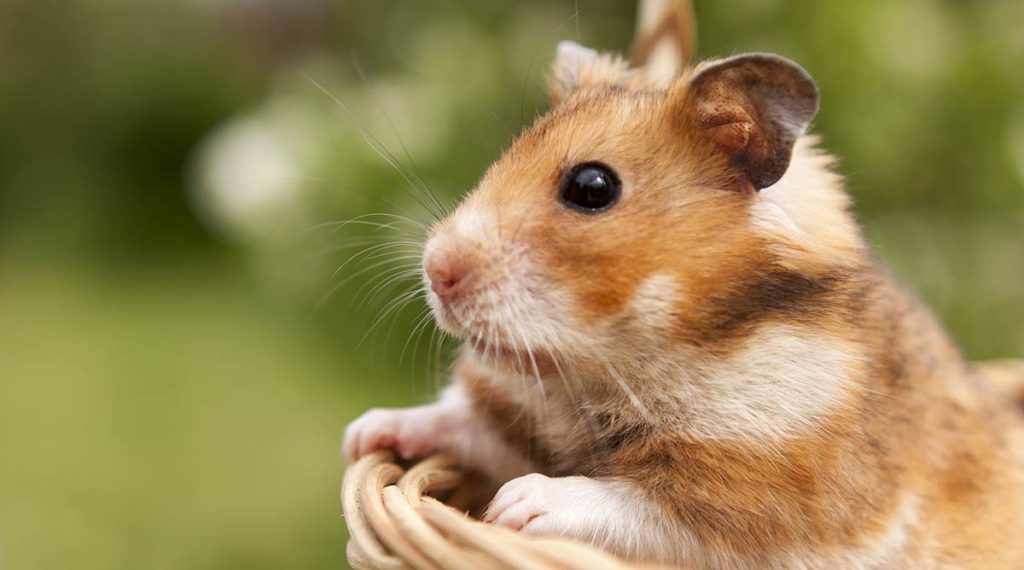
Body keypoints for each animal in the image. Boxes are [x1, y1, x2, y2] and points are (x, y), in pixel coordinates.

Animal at [344, 8, 1024, 570]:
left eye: (592, 187)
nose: (434, 272)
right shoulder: (525, 421)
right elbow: (466, 422)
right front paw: (365, 435)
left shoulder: (749, 504)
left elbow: (629, 504)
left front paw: (511, 508)